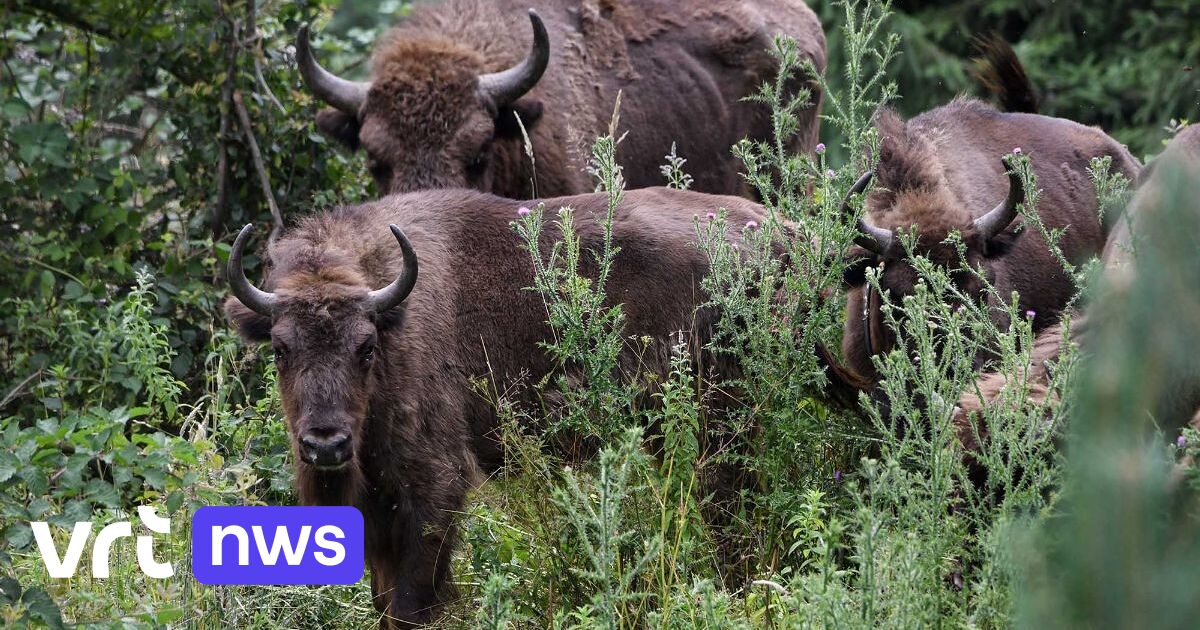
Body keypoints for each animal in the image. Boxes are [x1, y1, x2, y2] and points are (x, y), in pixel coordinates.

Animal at [224, 187, 769, 626]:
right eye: (280, 348)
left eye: (366, 346)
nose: (326, 445)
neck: (391, 313)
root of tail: (775, 231)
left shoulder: (433, 485)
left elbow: (409, 602)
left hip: (721, 428)